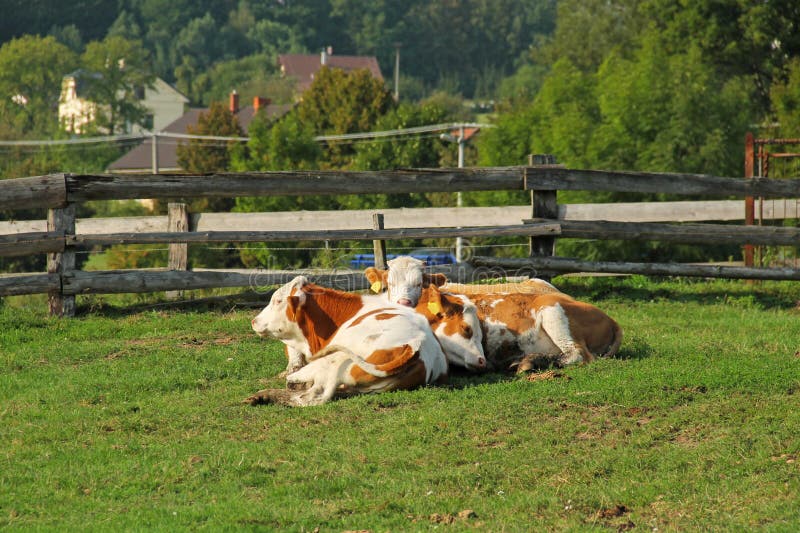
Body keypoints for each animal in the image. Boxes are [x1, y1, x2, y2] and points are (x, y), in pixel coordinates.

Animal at [248, 276, 448, 406]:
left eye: (277, 301)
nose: (254, 321)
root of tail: (417, 346)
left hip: (336, 360)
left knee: (306, 396)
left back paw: (265, 395)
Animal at [366, 257, 623, 370]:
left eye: (419, 283)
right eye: (389, 284)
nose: (403, 302)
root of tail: (611, 319)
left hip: (554, 314)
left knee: (577, 354)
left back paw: (531, 360)